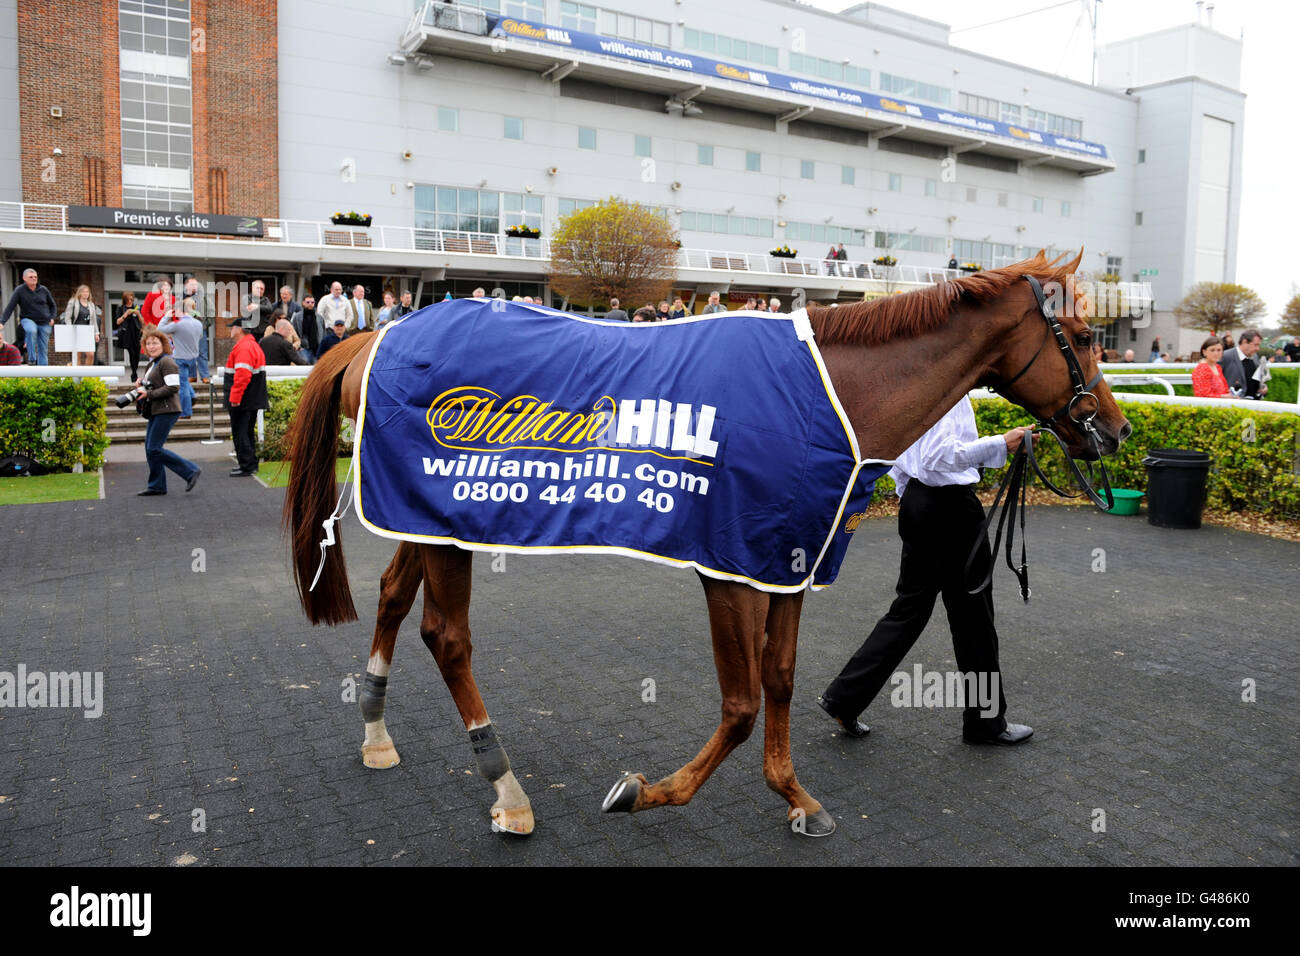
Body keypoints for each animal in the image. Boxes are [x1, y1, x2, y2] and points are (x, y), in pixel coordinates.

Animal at [283, 250, 1130, 838]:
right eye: (1085, 335)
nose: (1116, 430)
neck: (825, 397)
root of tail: (379, 334)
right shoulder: (729, 564)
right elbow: (743, 702)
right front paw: (648, 791)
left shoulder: (788, 558)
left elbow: (780, 680)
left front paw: (797, 797)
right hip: (446, 518)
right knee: (447, 636)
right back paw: (508, 792)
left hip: (428, 515)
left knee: (396, 598)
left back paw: (377, 735)